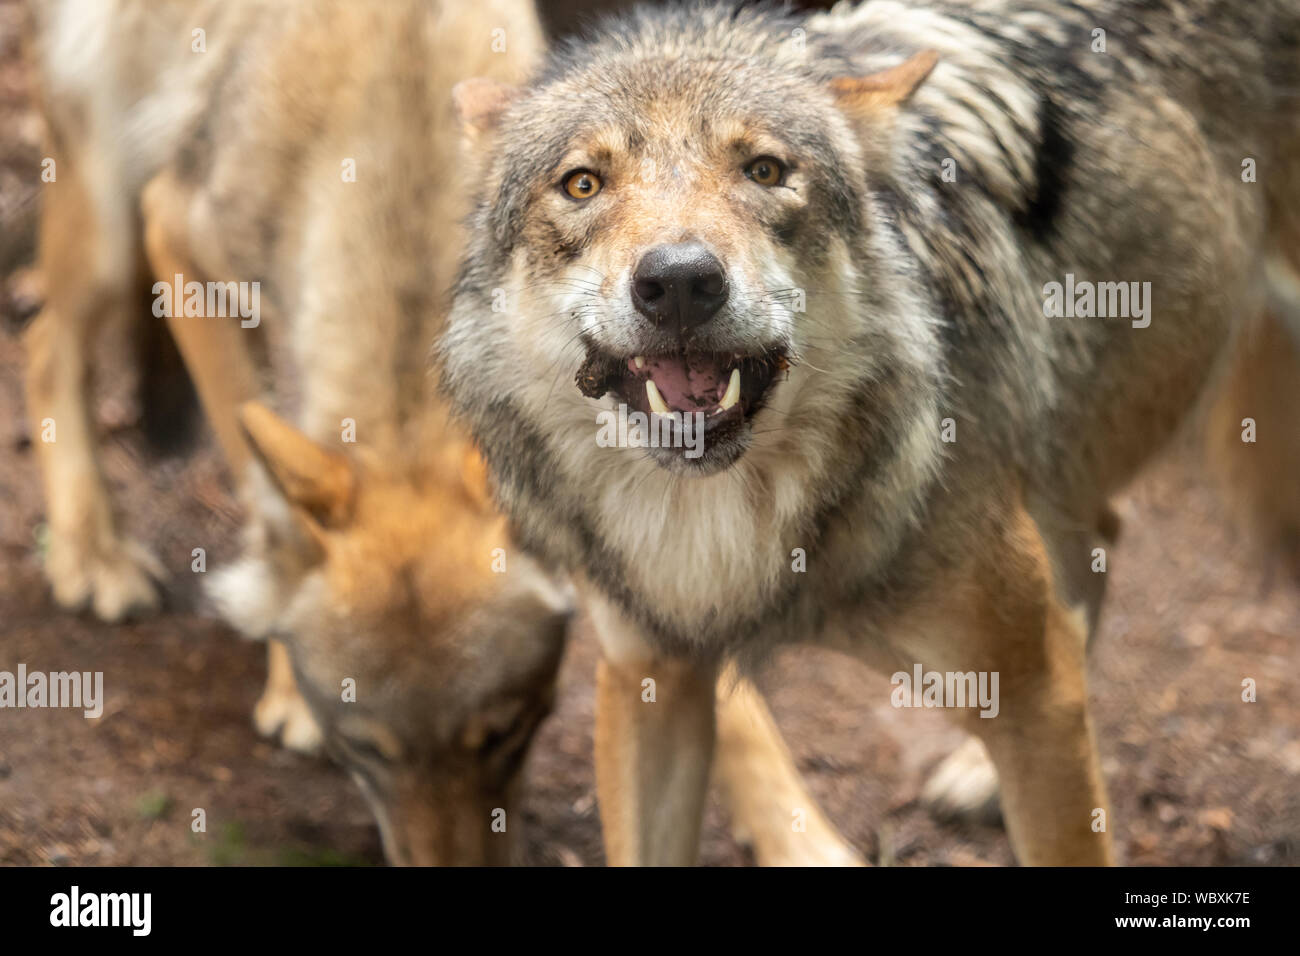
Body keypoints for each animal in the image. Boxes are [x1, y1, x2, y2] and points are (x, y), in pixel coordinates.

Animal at [22, 0, 861, 866]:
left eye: (507, 734)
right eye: (364, 751)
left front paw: (802, 836)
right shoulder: (178, 240)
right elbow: (262, 486)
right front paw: (286, 672)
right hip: (110, 219)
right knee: (46, 345)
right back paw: (91, 554)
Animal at [442, 0, 1300, 864]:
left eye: (764, 170)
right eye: (583, 183)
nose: (680, 281)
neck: (726, 540)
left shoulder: (1032, 693)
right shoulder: (650, 680)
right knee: (1105, 536)